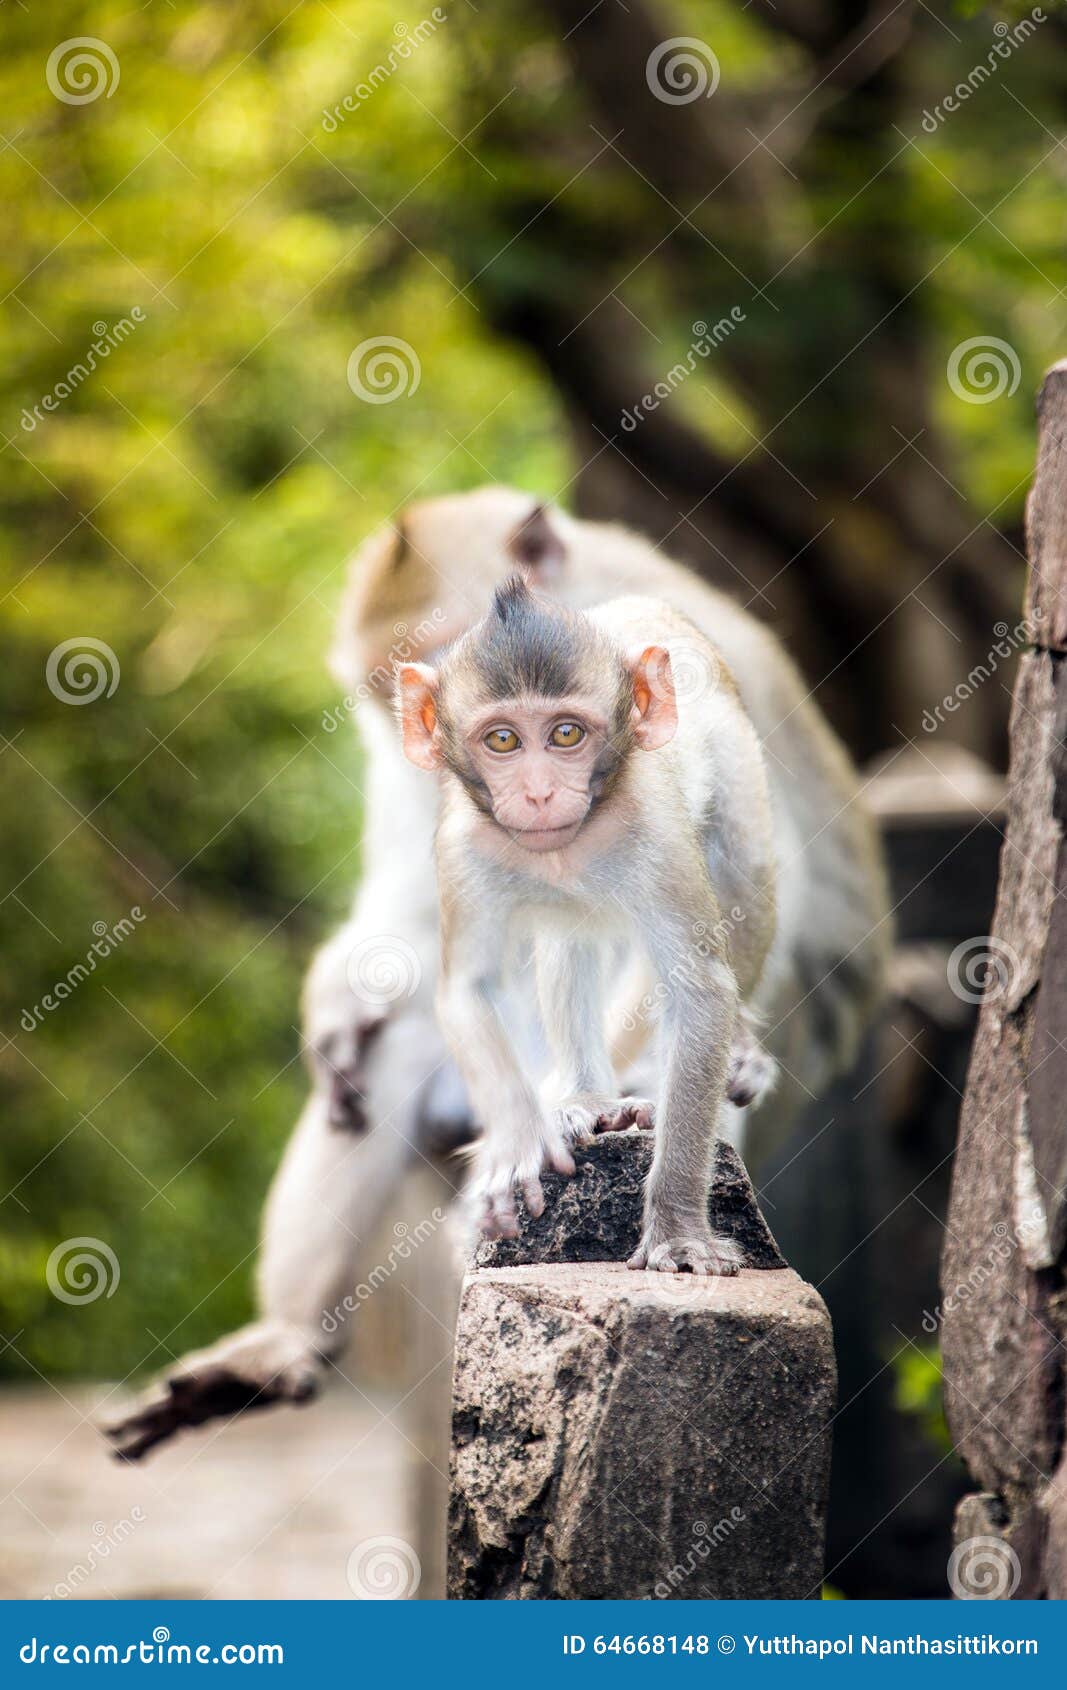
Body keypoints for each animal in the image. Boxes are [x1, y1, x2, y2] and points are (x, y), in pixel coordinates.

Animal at [396, 577, 779, 1273]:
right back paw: (585, 1100)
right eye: (502, 741)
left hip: (741, 771)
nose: (540, 793)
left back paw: (740, 1050)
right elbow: (468, 989)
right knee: (568, 936)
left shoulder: (656, 829)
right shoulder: (461, 844)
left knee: (748, 880)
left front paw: (678, 1229)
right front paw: (519, 1143)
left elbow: (700, 990)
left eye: (567, 734)